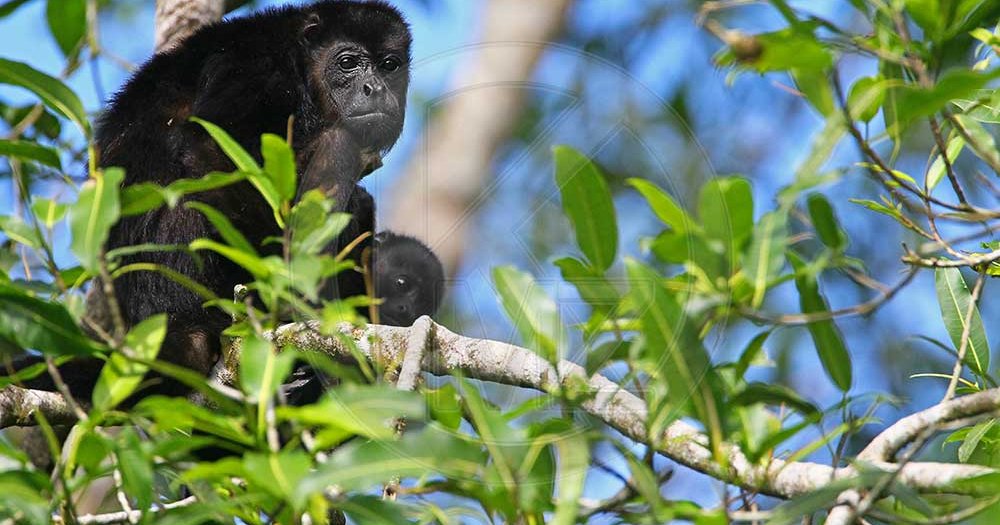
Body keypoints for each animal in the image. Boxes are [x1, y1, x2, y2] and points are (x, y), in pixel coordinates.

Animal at [10, 0, 414, 400]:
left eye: (389, 64)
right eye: (347, 62)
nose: (375, 88)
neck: (302, 66)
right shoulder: (255, 72)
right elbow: (210, 154)